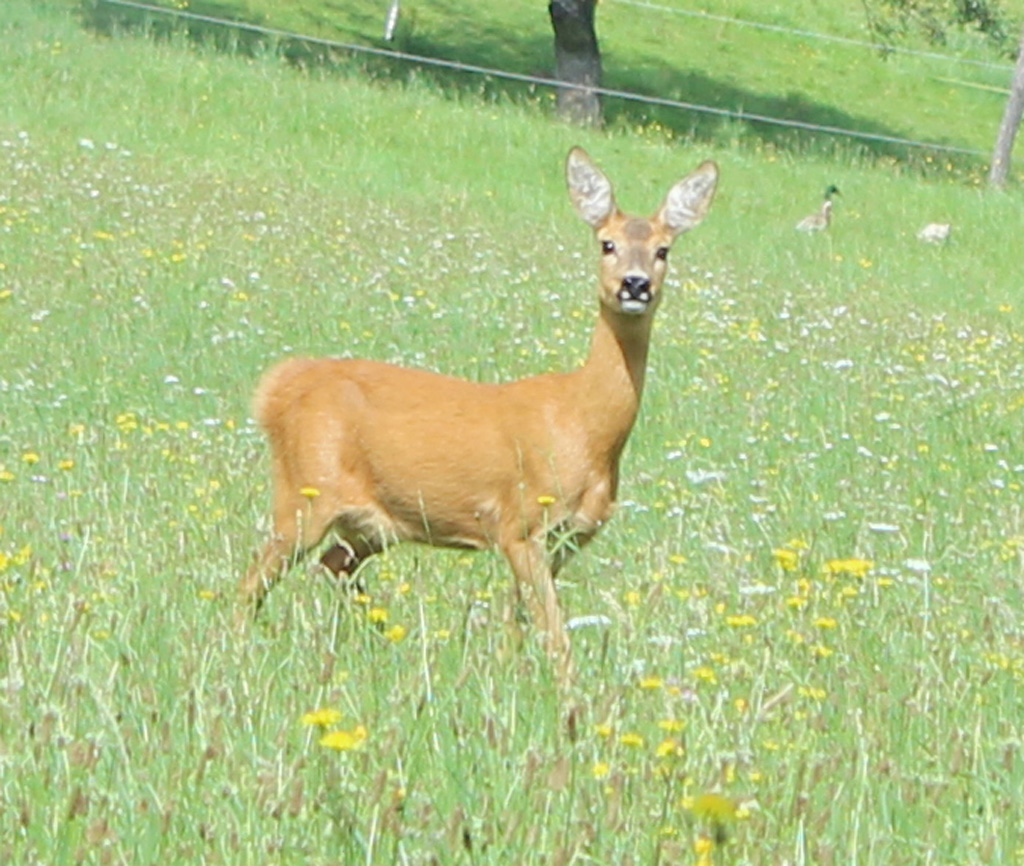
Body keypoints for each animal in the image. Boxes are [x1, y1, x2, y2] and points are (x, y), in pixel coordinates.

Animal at [239, 147, 719, 683]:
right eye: (607, 244)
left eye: (663, 250)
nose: (635, 286)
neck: (583, 427)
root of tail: (276, 388)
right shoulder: (521, 523)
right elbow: (553, 630)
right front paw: (568, 692)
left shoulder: (568, 538)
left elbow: (520, 621)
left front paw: (508, 672)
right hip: (304, 493)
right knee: (251, 581)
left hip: (372, 524)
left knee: (332, 565)